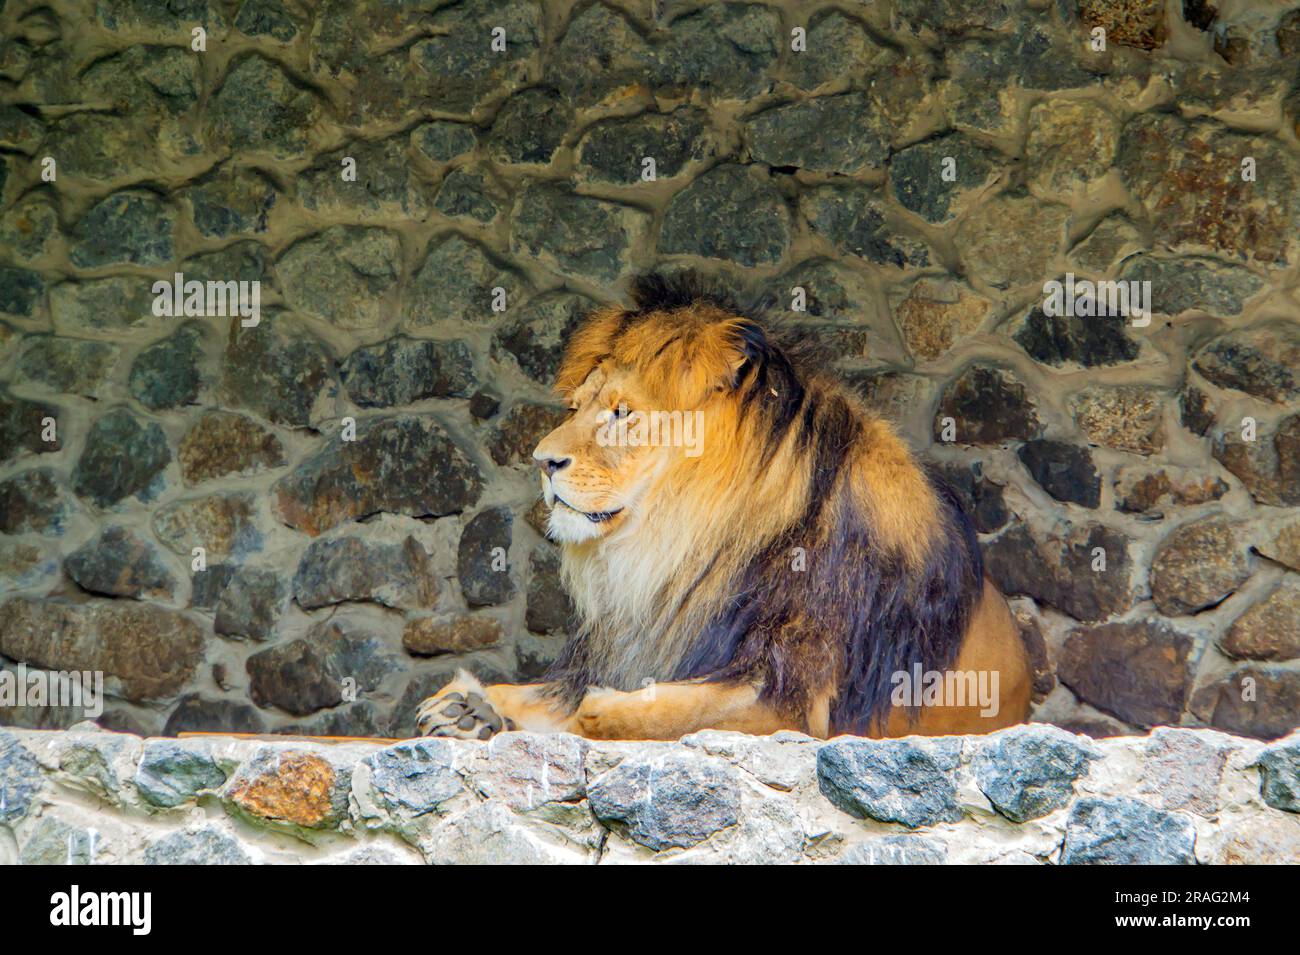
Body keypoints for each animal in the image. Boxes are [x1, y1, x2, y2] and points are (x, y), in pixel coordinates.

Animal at [417, 272, 1032, 741]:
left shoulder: (796, 705)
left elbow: (644, 715)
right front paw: (466, 706)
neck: (684, 548)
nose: (543, 461)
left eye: (621, 413)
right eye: (576, 407)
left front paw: (582, 712)